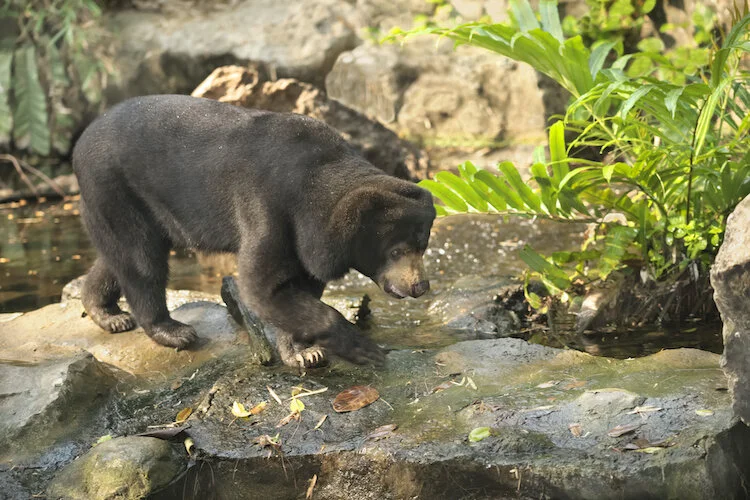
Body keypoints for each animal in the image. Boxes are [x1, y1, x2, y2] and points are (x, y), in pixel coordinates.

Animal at [72, 94, 435, 367]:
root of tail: (81, 140)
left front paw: (304, 352)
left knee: (120, 255)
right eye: (396, 251)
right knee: (141, 258)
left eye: (422, 247)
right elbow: (261, 286)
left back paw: (105, 313)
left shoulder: (305, 237)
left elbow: (297, 287)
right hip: (113, 187)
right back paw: (172, 330)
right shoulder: (268, 207)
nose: (420, 285)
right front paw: (364, 349)